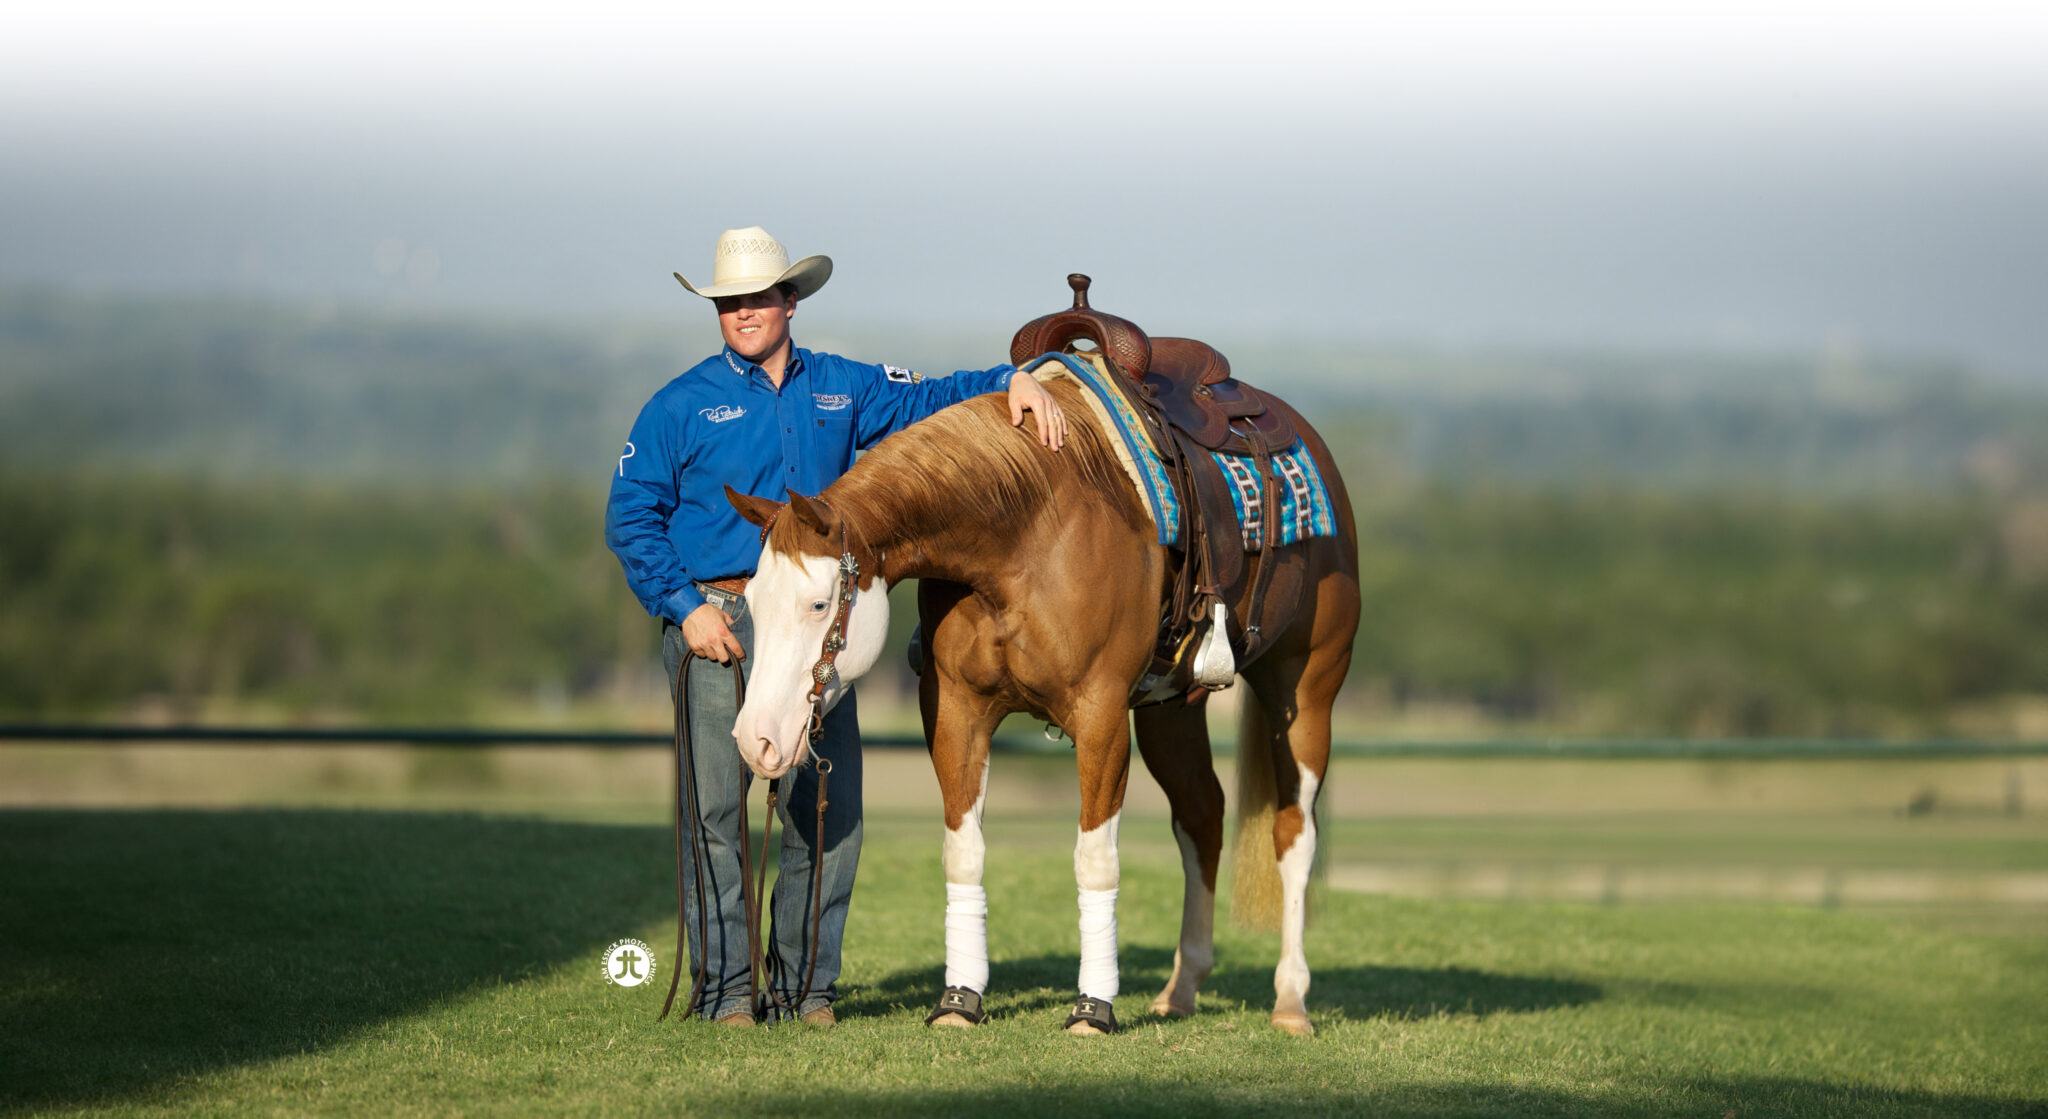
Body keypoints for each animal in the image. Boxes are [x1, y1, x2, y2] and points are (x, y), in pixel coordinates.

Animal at [724, 364, 1359, 1036]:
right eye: (752, 599)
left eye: (819, 603)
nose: (755, 739)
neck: (1025, 532)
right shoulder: (956, 713)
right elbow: (964, 853)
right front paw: (959, 1000)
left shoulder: (1102, 720)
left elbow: (1095, 860)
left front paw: (1093, 1008)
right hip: (1170, 714)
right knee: (1201, 817)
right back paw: (1182, 988)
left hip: (1306, 692)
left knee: (1295, 834)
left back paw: (1290, 1001)